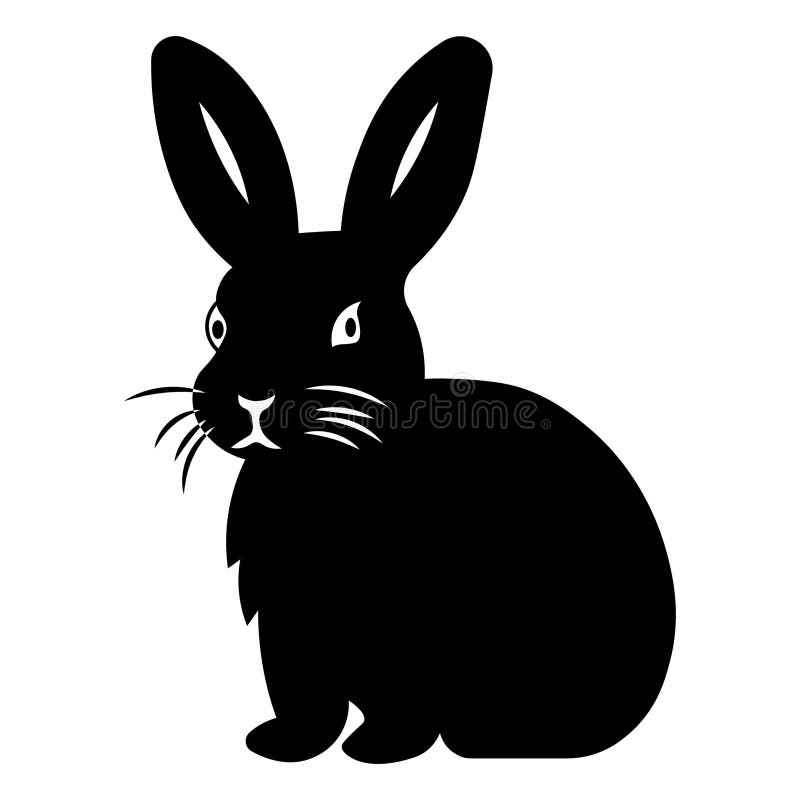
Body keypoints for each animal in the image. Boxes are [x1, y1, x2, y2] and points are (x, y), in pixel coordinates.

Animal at [132, 35, 675, 763]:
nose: (250, 396)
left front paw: (378, 751)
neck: (318, 474)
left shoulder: (401, 619)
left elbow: (397, 699)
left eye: (350, 326)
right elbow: (305, 697)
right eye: (217, 324)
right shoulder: (290, 627)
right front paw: (282, 746)